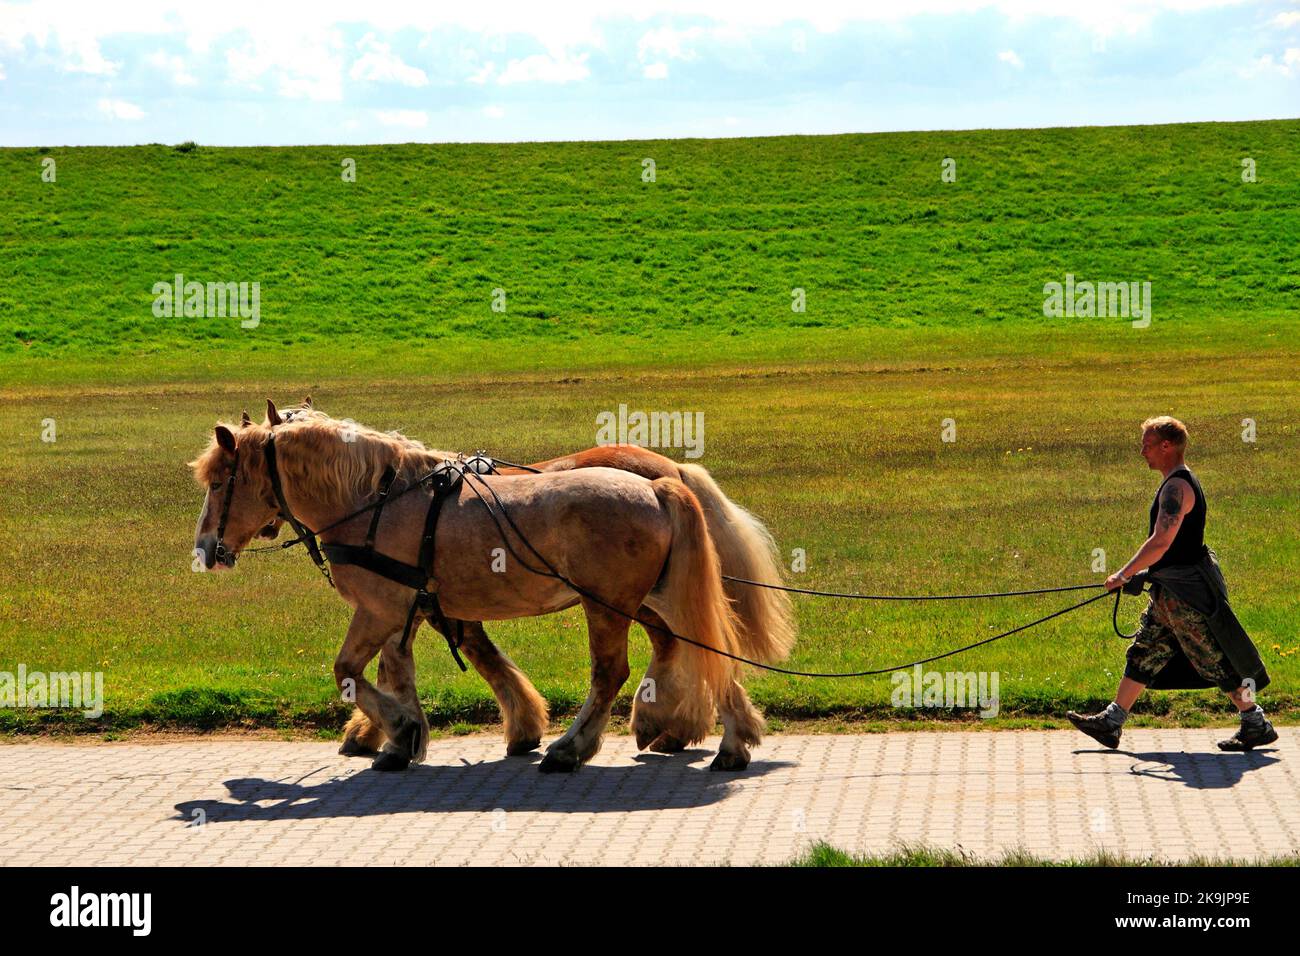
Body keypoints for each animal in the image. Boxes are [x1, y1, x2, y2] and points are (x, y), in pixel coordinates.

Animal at [190, 413, 768, 772]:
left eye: (219, 482)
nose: (204, 550)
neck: (377, 501)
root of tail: (658, 482)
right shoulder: (409, 609)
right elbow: (404, 672)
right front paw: (400, 737)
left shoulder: (380, 610)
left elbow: (350, 672)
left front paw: (396, 730)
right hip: (665, 596)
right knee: (706, 653)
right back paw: (729, 740)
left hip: (609, 605)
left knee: (613, 674)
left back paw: (573, 748)